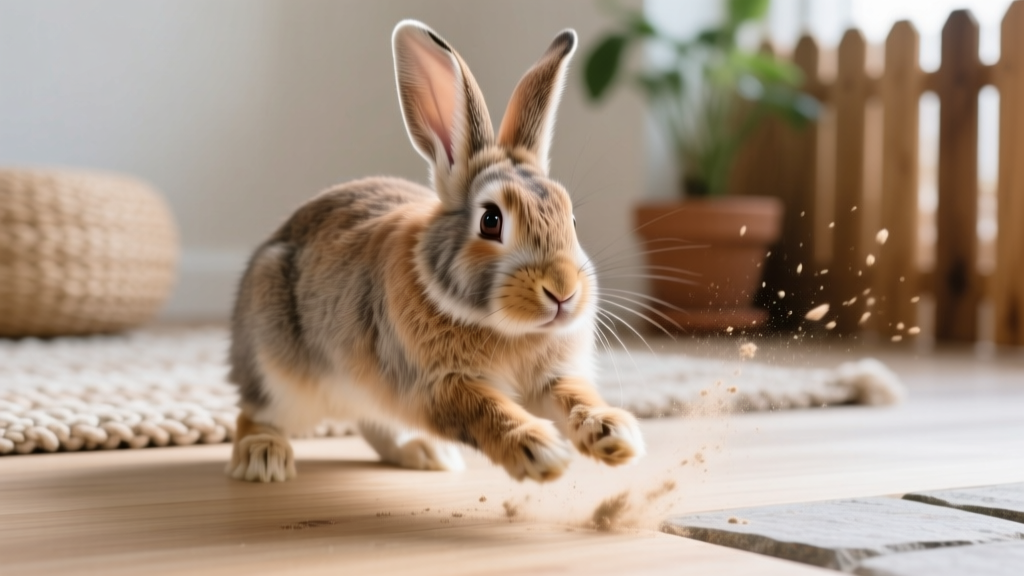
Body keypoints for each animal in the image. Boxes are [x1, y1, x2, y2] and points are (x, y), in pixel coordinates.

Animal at [226, 20, 645, 483]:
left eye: (571, 219)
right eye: (491, 221)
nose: (563, 292)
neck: (507, 328)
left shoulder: (552, 377)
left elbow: (574, 394)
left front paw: (614, 435)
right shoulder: (436, 384)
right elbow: (486, 408)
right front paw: (539, 450)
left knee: (373, 422)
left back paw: (426, 453)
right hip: (278, 370)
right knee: (254, 413)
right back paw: (263, 459)